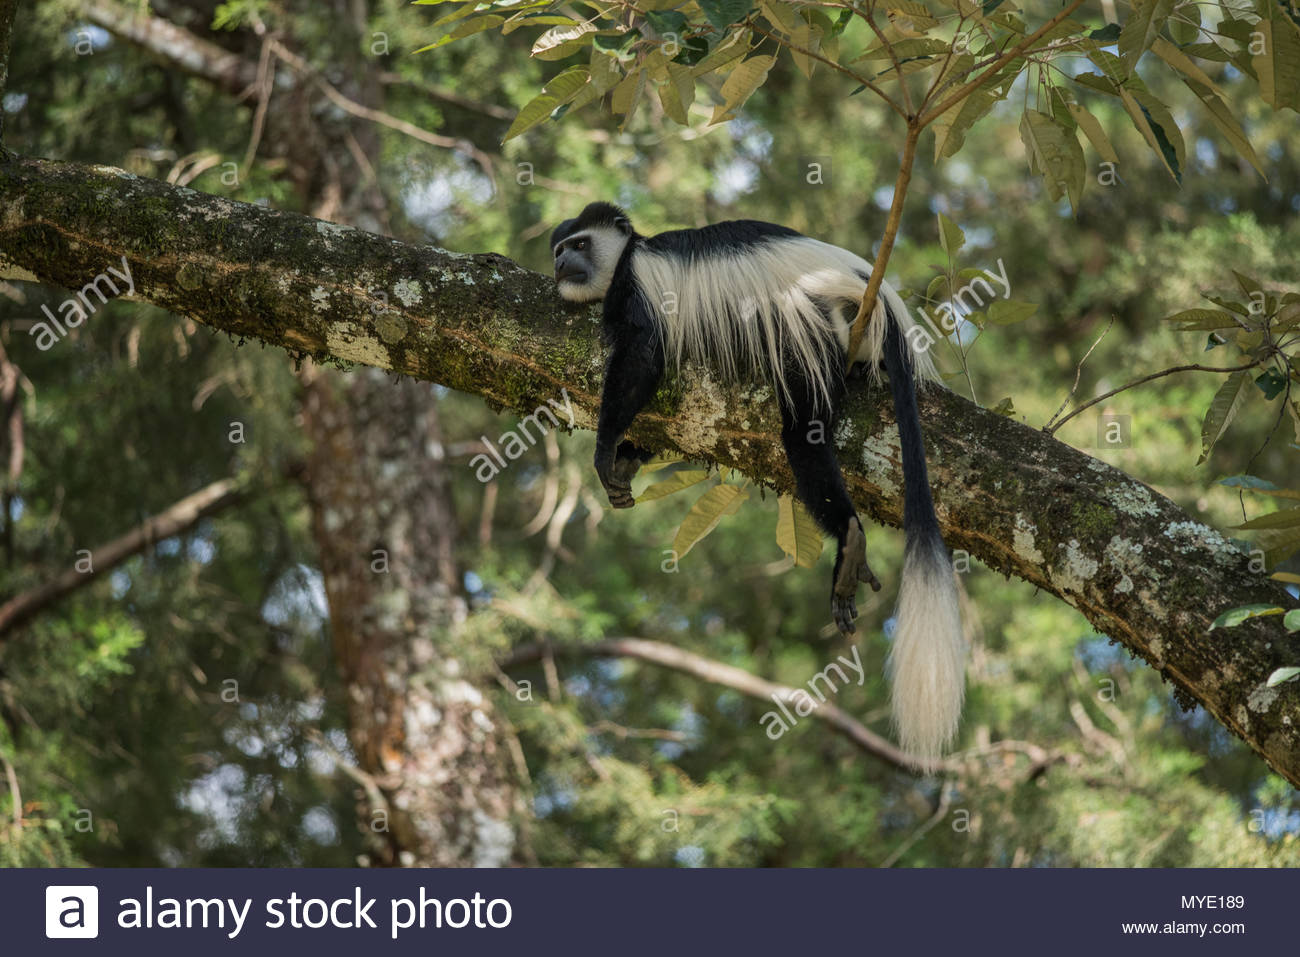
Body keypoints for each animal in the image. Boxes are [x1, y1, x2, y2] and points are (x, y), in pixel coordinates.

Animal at [550, 202, 965, 765]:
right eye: (559, 249)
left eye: (580, 245)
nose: (560, 263)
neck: (628, 257)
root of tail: (868, 286)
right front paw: (627, 462)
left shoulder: (642, 286)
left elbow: (644, 358)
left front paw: (606, 446)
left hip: (812, 321)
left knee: (804, 430)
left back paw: (849, 536)